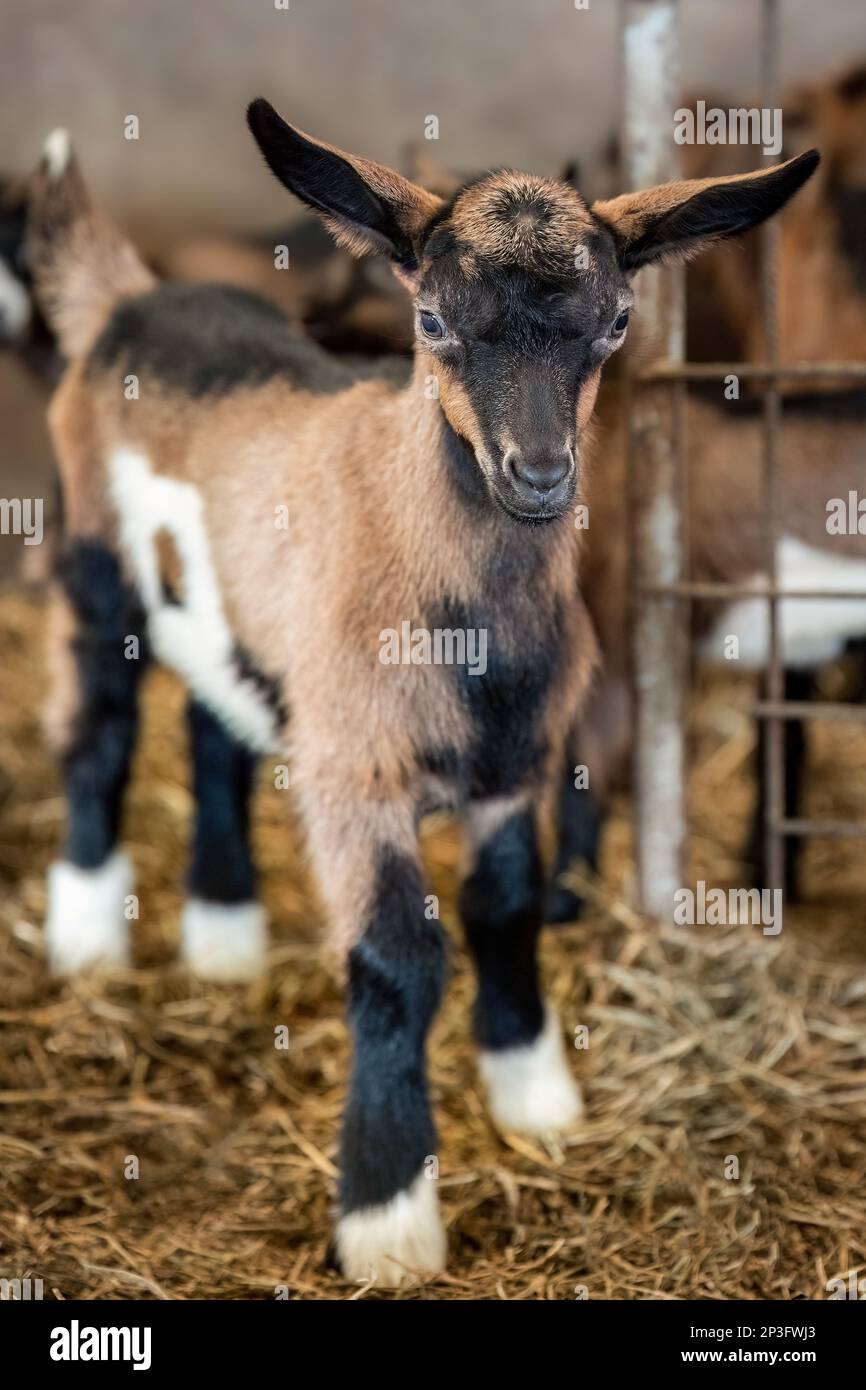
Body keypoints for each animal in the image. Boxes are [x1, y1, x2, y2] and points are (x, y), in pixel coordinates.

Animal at [29, 108, 817, 1284]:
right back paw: (87, 936)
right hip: (93, 560)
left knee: (210, 727)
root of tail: (125, 297)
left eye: (617, 320)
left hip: (235, 615)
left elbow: (505, 909)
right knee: (100, 731)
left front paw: (534, 1094)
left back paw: (223, 936)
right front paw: (387, 1216)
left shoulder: (514, 767)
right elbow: (398, 958)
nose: (537, 473)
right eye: (433, 318)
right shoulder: (357, 774)